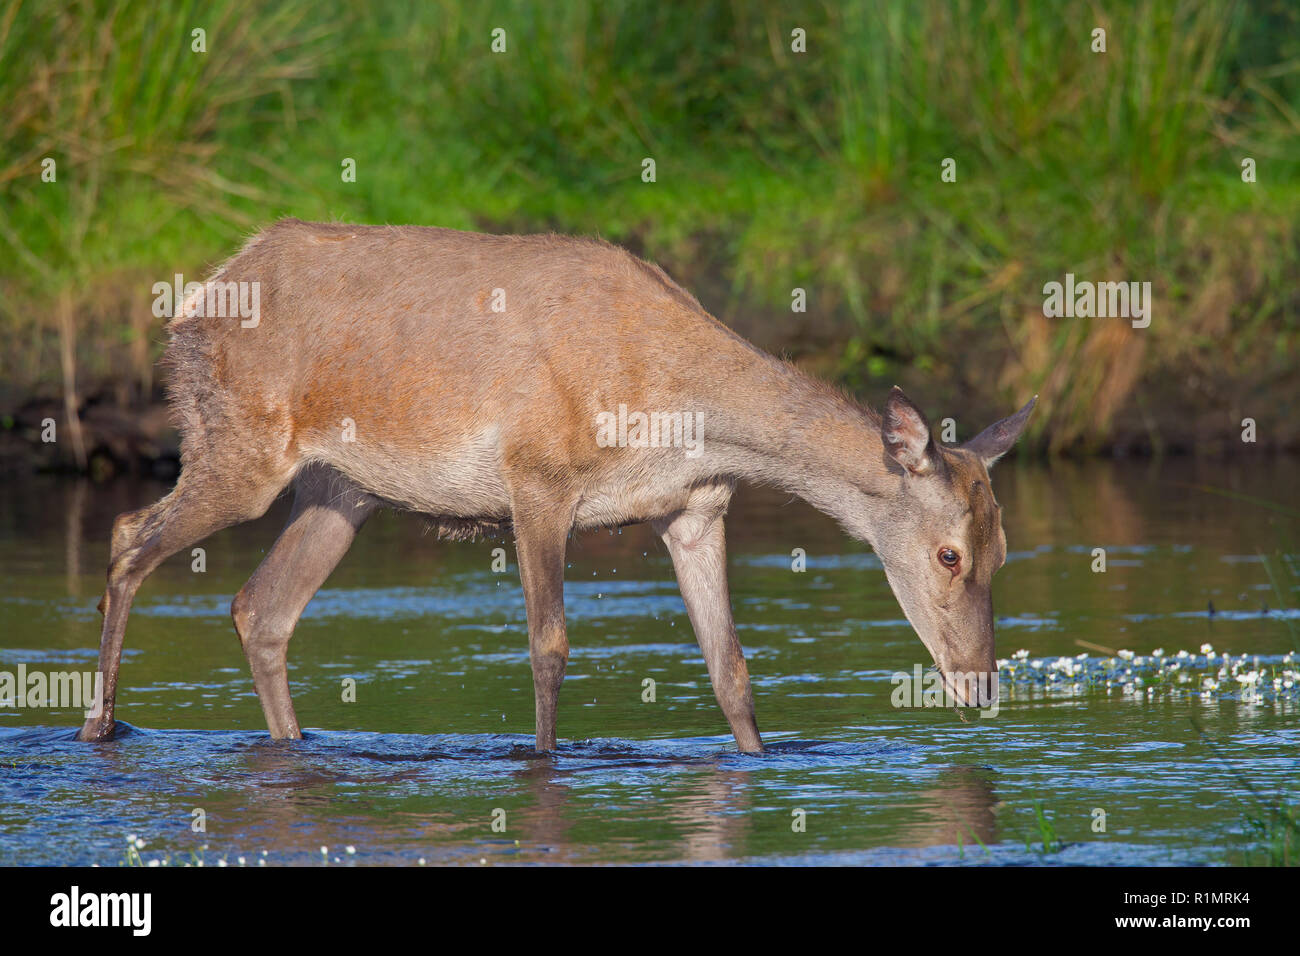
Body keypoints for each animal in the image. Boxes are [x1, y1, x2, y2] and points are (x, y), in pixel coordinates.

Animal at [78, 218, 1035, 753]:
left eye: (1004, 553)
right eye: (949, 556)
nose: (981, 685)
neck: (677, 411)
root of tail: (191, 303)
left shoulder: (695, 509)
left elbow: (730, 668)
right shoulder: (536, 477)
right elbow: (549, 647)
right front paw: (541, 759)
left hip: (343, 491)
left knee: (260, 607)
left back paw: (292, 742)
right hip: (238, 444)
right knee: (128, 538)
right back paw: (98, 725)